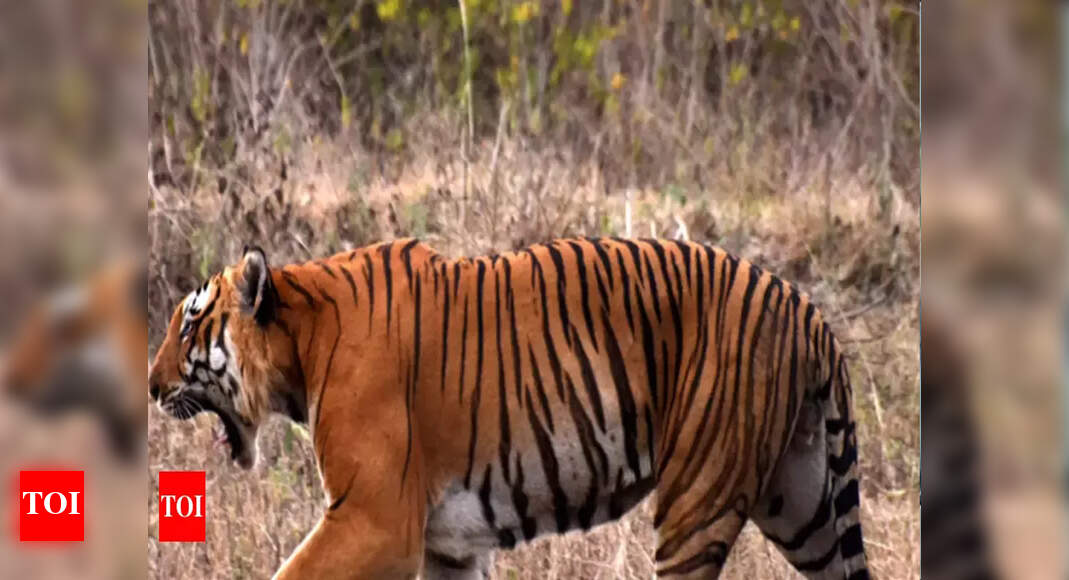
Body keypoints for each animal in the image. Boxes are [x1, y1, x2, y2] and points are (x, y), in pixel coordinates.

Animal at [148, 237, 869, 579]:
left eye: (189, 325)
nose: (151, 388)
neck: (302, 339)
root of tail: (805, 309)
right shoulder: (448, 544)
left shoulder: (375, 519)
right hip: (804, 506)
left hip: (700, 496)